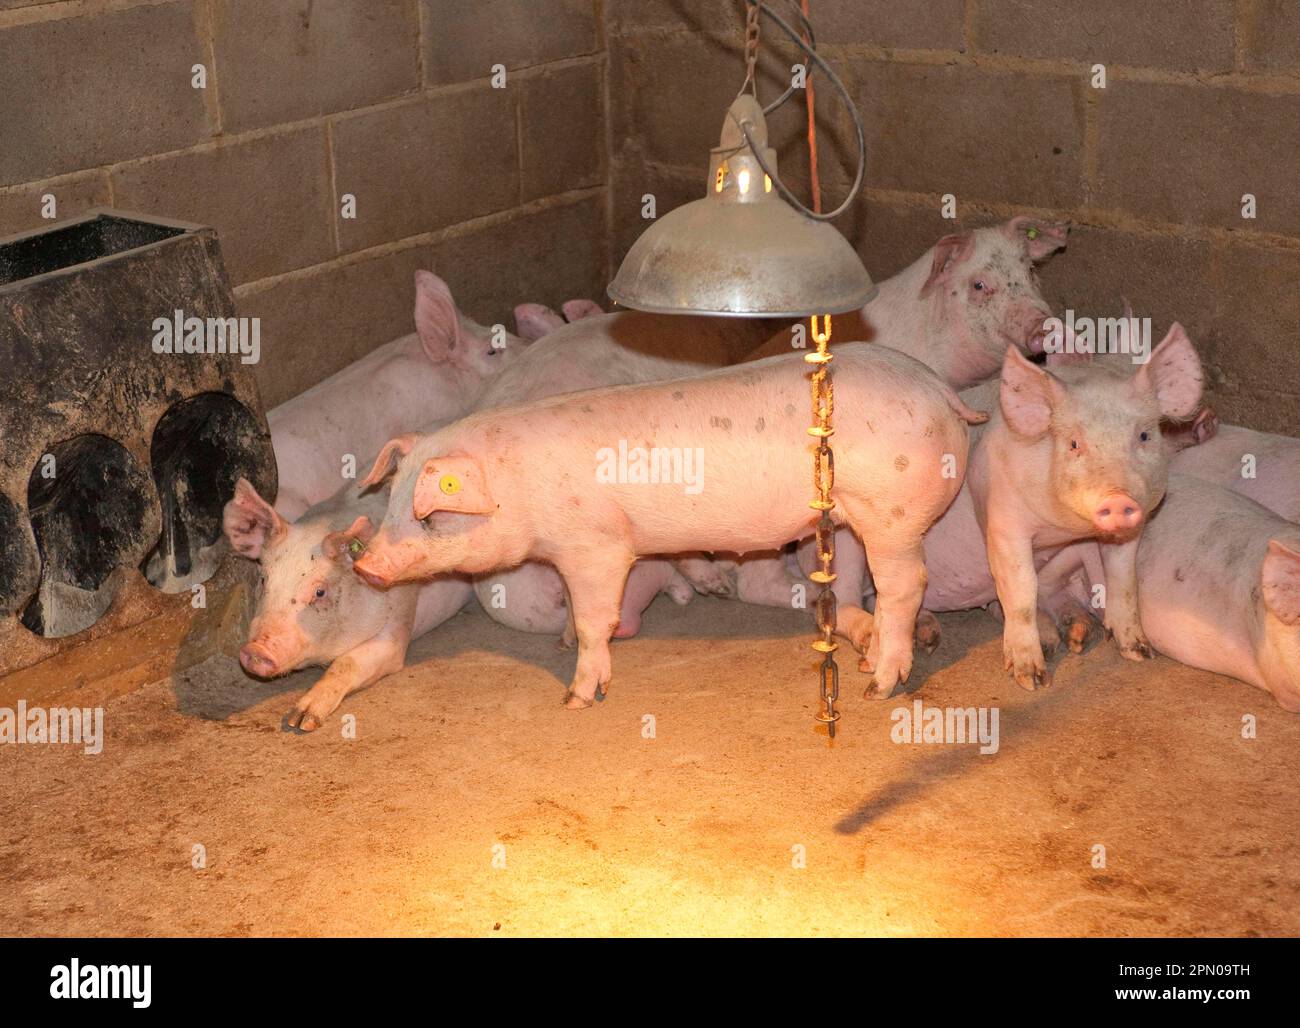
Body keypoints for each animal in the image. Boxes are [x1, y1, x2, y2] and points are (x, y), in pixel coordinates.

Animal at [223, 460, 474, 731]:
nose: (256, 650)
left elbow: (347, 662)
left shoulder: (399, 621)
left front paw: (300, 720)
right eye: (263, 580)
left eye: (320, 591)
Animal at [351, 346, 985, 706]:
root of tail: (941, 390)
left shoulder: (596, 546)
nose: (365, 563)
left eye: (430, 516)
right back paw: (863, 659)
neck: (521, 490)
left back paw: (879, 685)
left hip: (893, 513)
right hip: (851, 515)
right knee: (853, 582)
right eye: (390, 503)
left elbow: (596, 619)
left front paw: (577, 698)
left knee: (906, 584)